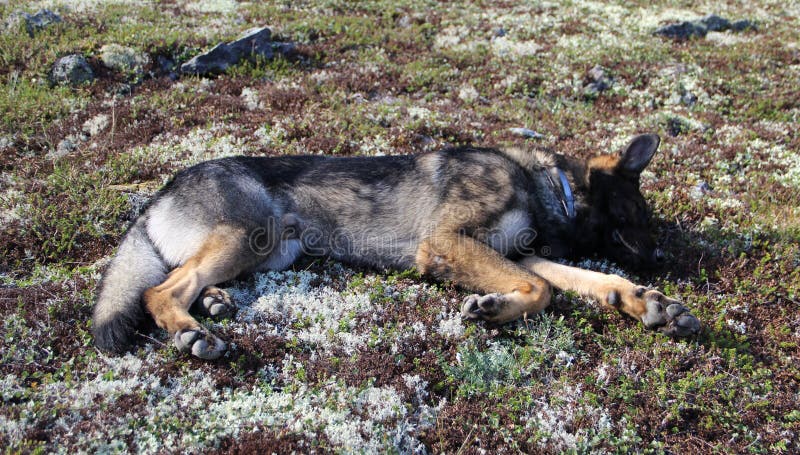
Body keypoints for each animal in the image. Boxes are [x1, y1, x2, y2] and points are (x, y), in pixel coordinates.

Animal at [92, 133, 700, 359]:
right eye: (640, 214)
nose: (667, 260)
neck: (548, 185)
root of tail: (162, 189)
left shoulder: (521, 253)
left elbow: (591, 281)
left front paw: (648, 302)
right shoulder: (447, 243)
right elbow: (544, 289)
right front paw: (494, 308)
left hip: (270, 251)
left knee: (187, 279)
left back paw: (215, 304)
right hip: (250, 235)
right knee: (159, 291)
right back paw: (192, 332)